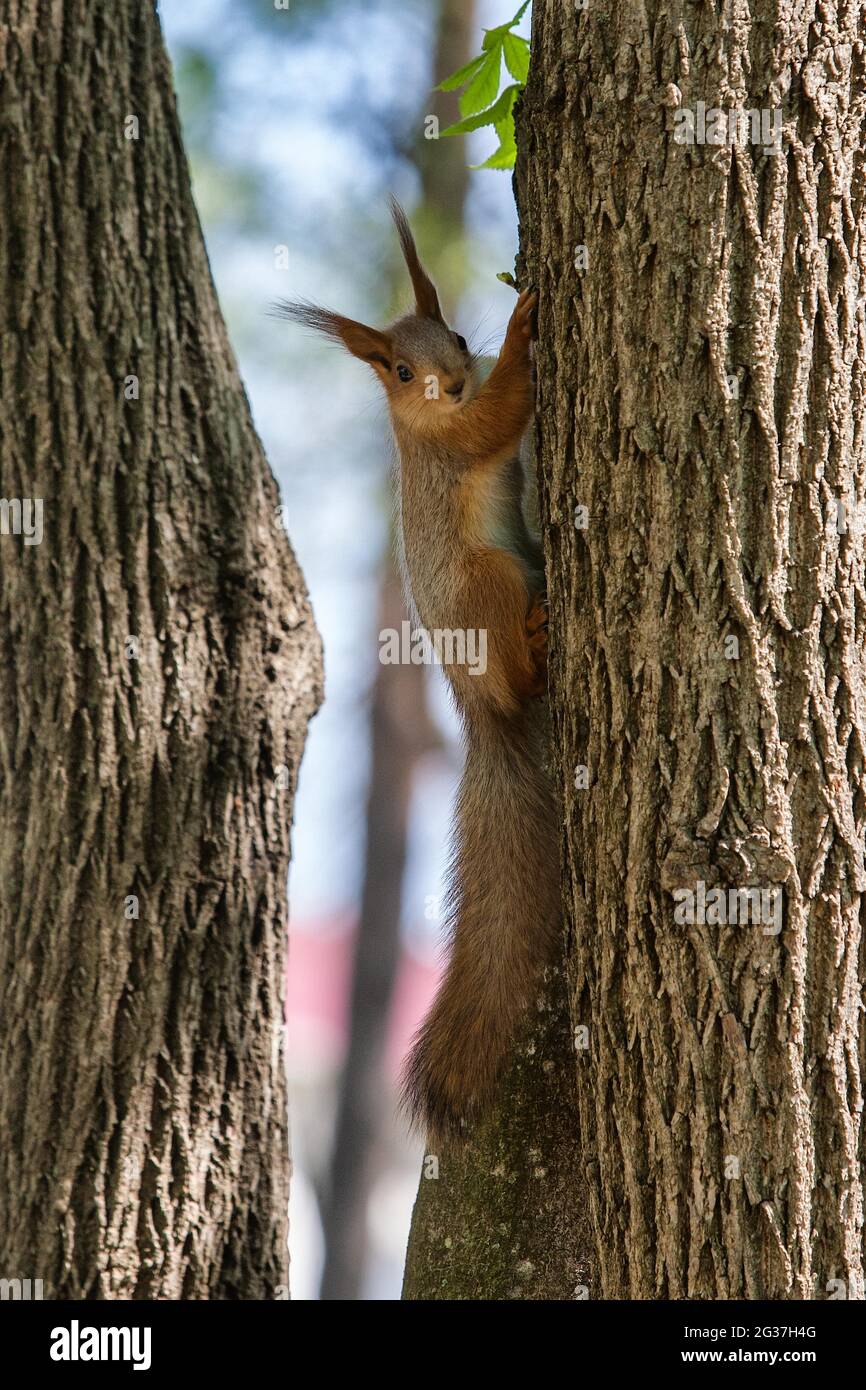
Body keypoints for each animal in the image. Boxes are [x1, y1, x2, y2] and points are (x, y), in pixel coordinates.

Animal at [275, 199, 560, 1141]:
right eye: (400, 370)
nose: (454, 381)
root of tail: (480, 711)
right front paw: (525, 327)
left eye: (456, 336)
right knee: (519, 669)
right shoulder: (456, 438)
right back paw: (536, 645)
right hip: (489, 581)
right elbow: (501, 416)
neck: (418, 419)